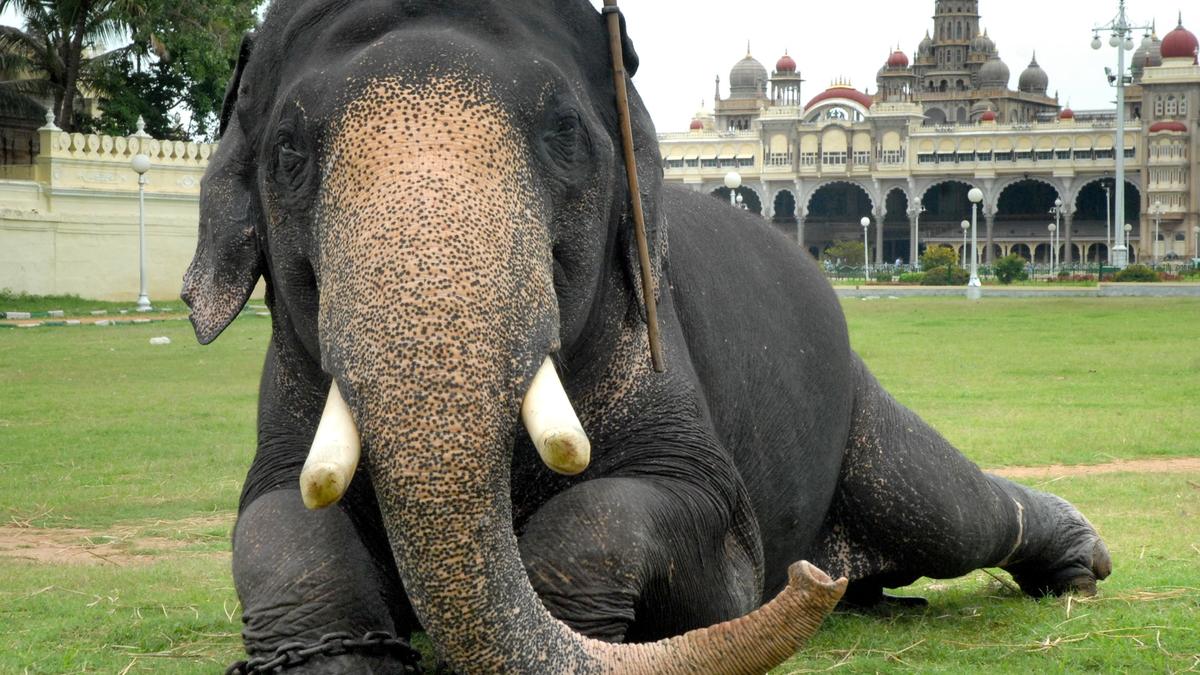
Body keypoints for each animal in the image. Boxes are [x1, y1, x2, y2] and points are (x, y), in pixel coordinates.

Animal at [182, 1, 1111, 672]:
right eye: (289, 153)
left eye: (564, 136)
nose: (809, 578)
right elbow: (275, 525)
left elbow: (668, 531)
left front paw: (593, 621)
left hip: (860, 406)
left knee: (951, 506)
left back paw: (1072, 562)